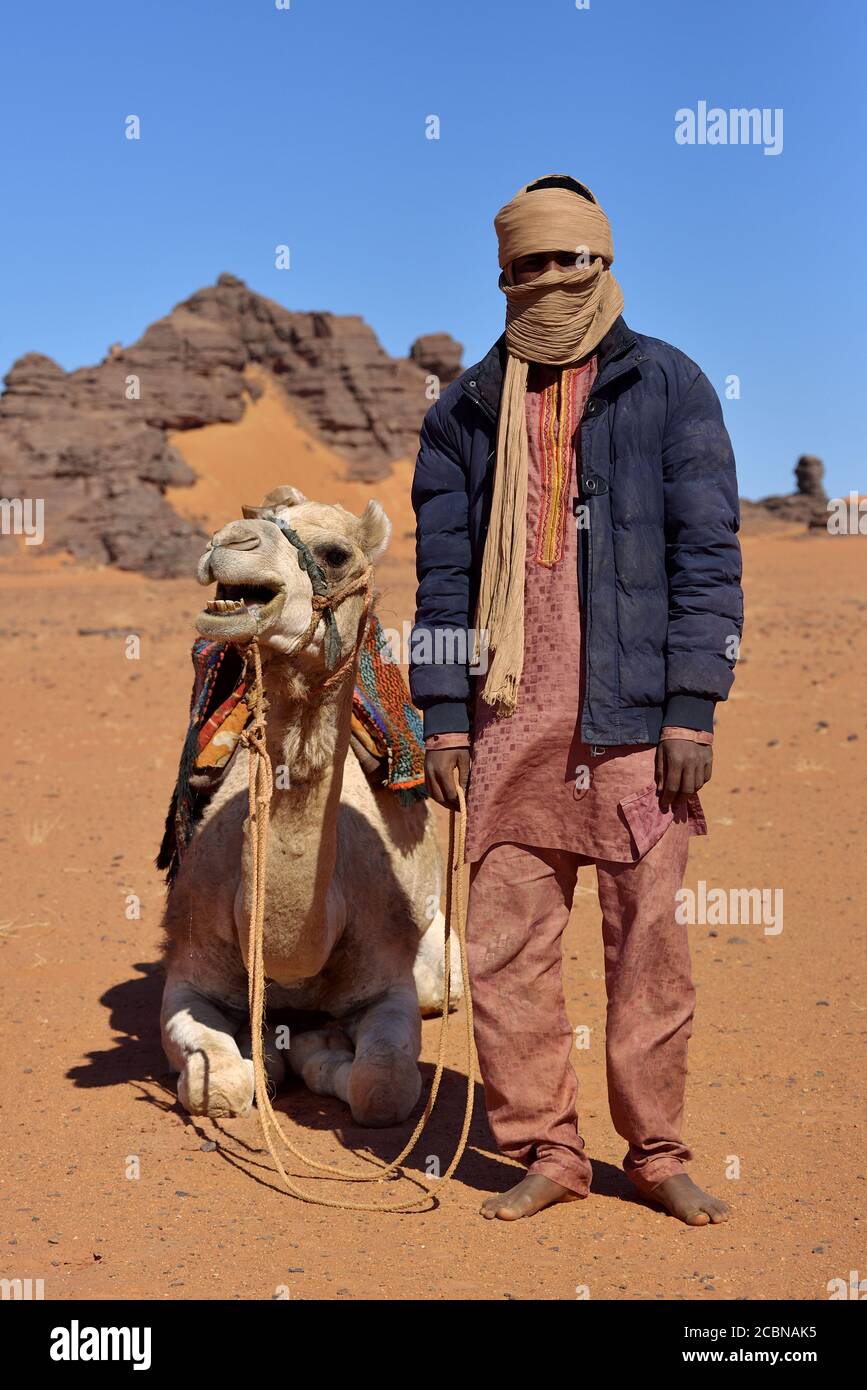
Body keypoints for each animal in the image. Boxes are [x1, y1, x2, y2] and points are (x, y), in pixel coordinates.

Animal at [160, 486, 460, 1127]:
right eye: (260, 520)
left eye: (336, 554)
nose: (227, 542)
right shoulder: (189, 975)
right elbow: (217, 1086)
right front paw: (264, 1061)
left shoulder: (389, 980)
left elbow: (383, 1086)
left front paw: (316, 1052)